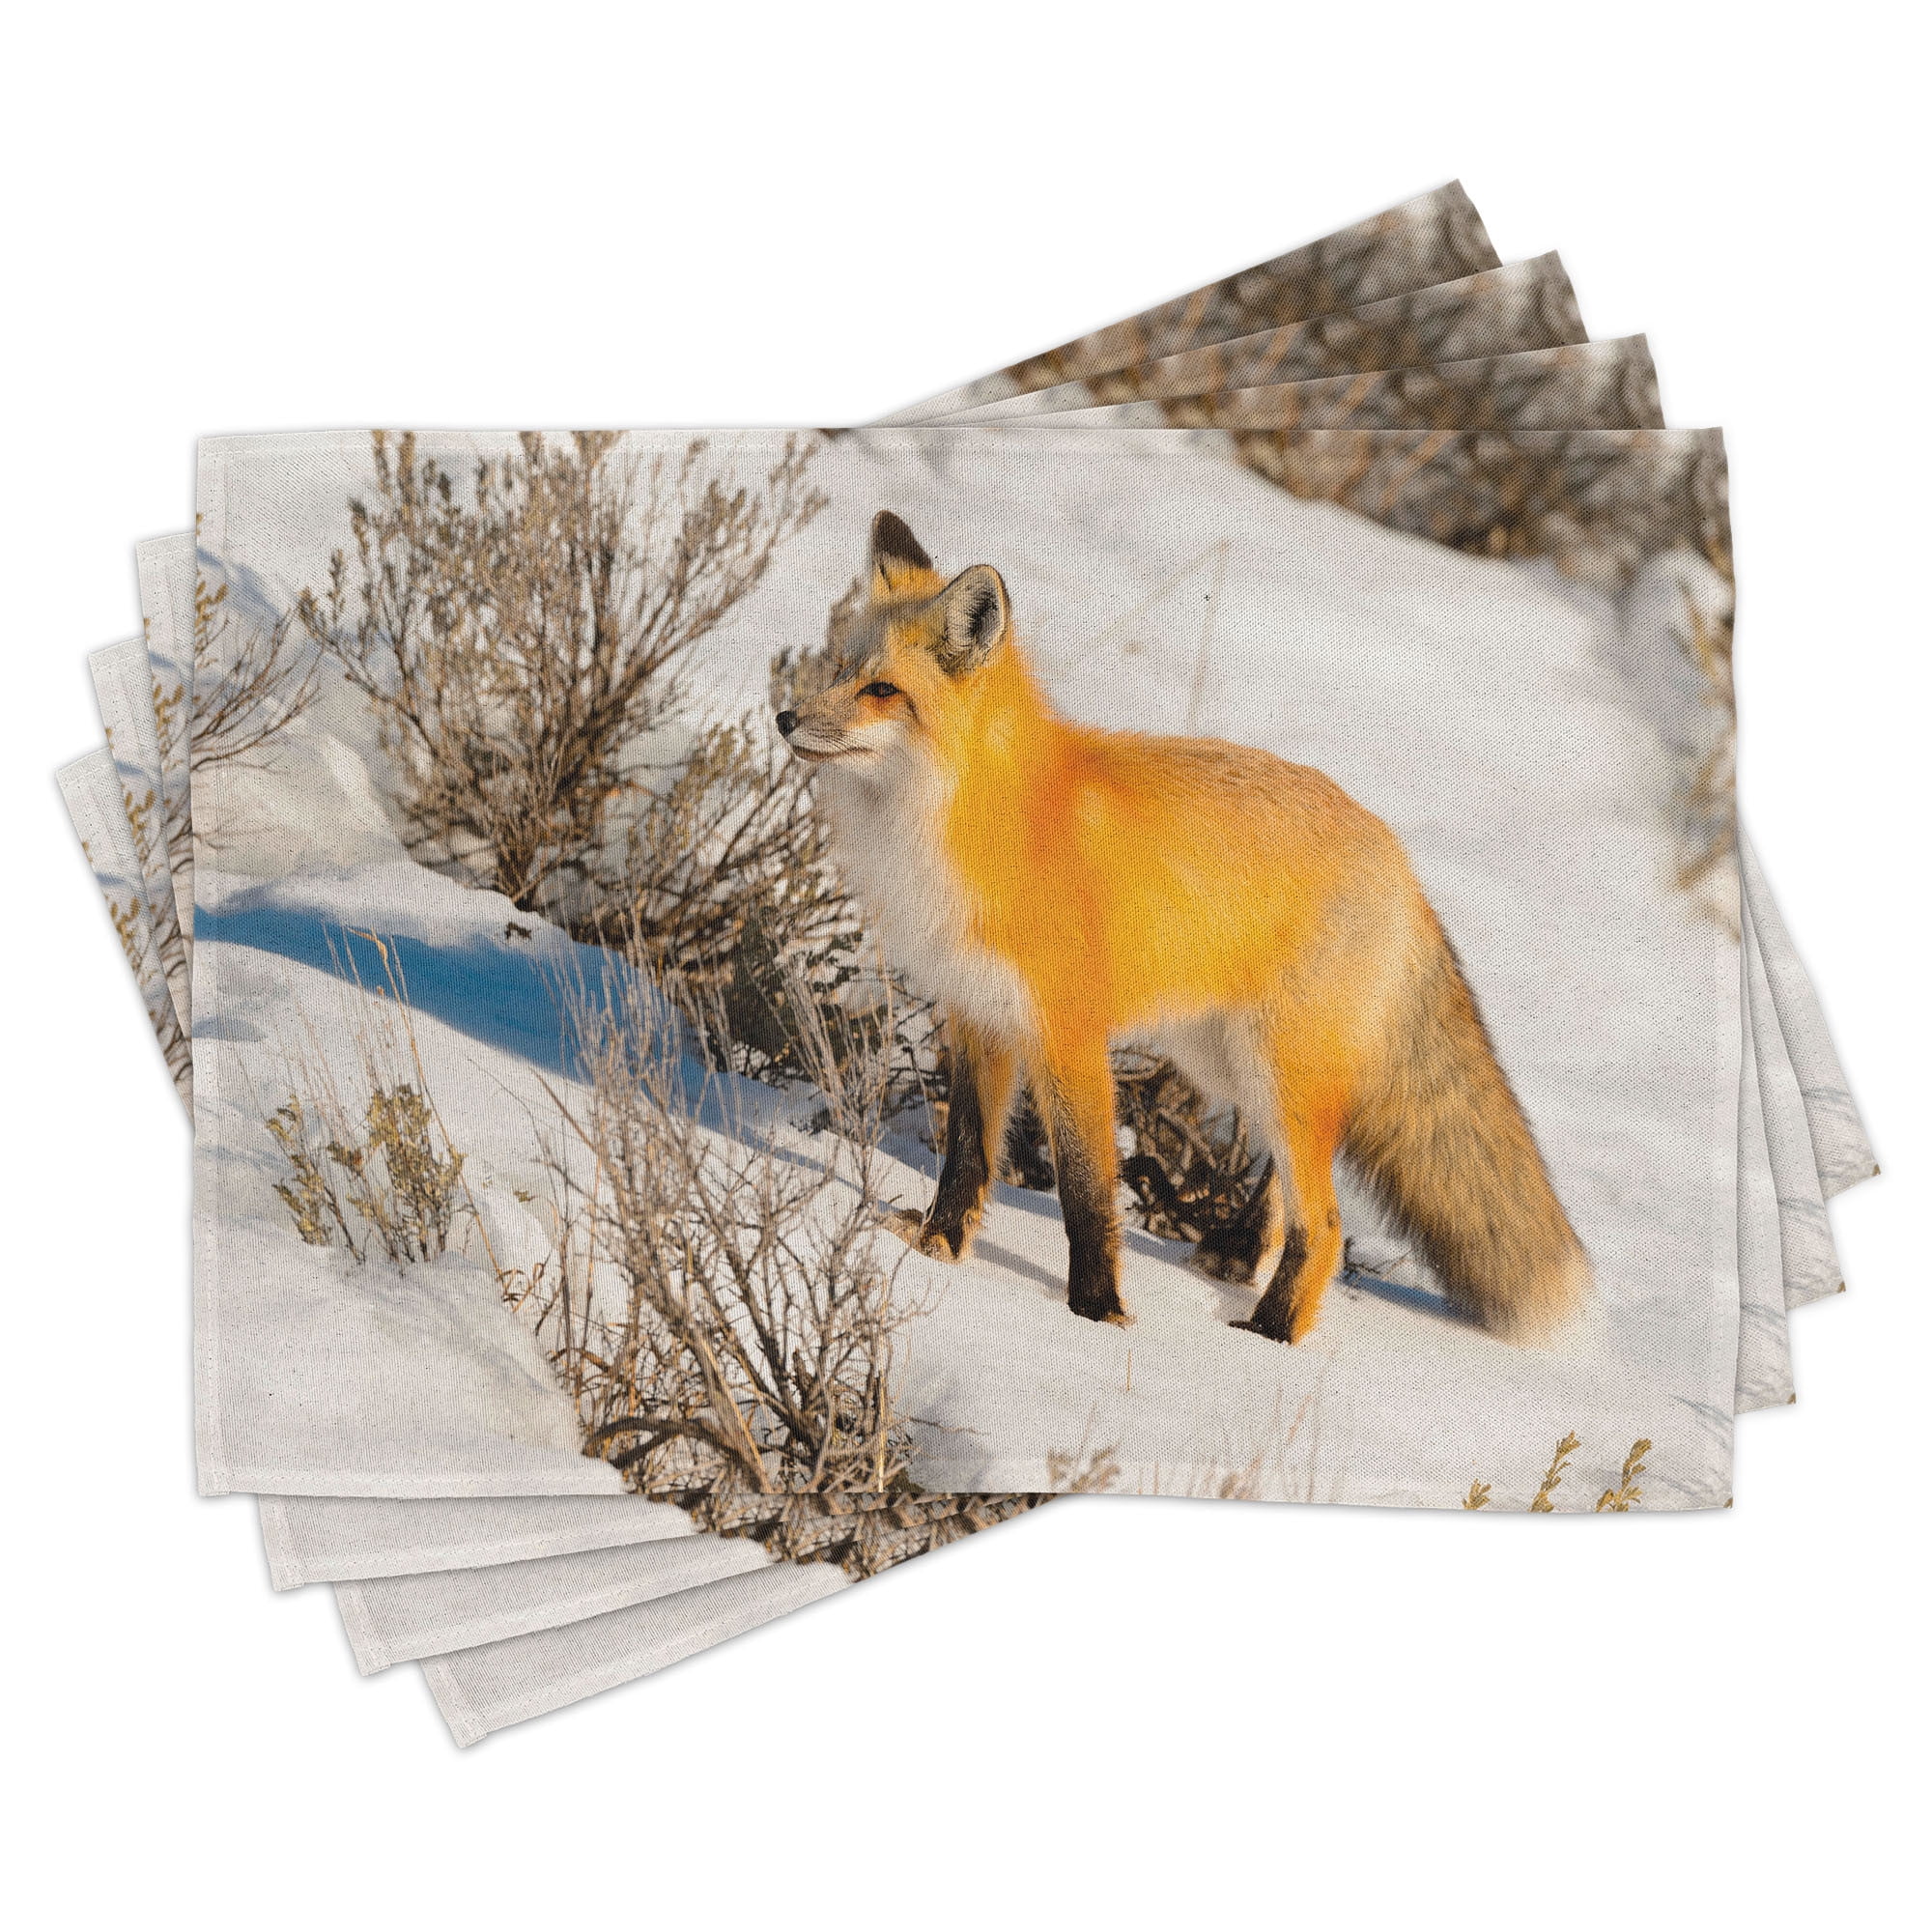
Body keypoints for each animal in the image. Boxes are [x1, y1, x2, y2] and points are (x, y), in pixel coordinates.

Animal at [774, 510, 1588, 1346]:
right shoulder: (978, 1014)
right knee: (1293, 1192)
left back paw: (1271, 1334)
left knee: (1327, 1223)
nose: (785, 717)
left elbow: (1089, 1193)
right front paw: (940, 1246)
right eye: (839, 667)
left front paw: (1096, 1313)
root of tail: (1401, 861)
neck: (967, 820)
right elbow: (967, 1154)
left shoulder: (1069, 1036)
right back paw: (1238, 1255)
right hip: (1229, 1065)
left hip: (1275, 1069)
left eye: (883, 691)